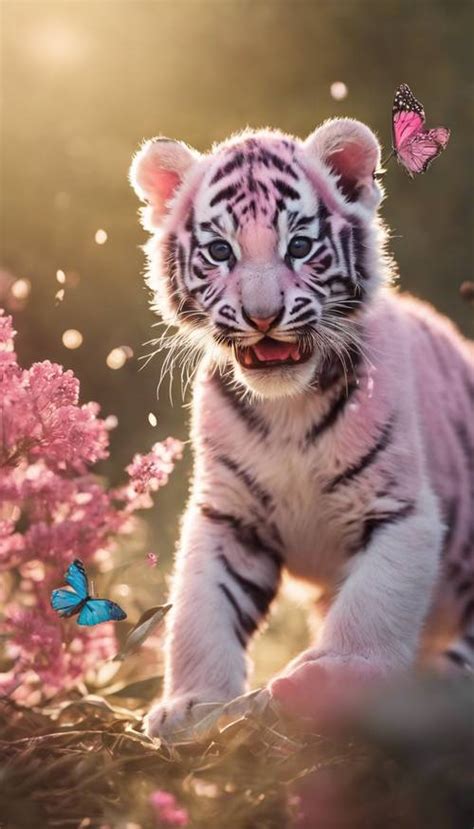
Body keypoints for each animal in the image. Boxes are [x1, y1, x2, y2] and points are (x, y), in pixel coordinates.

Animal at [129, 118, 474, 737]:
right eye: (220, 251)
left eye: (299, 246)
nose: (263, 316)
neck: (287, 406)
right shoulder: (230, 516)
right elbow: (202, 609)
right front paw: (191, 704)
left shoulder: (397, 510)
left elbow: (370, 608)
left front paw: (328, 680)